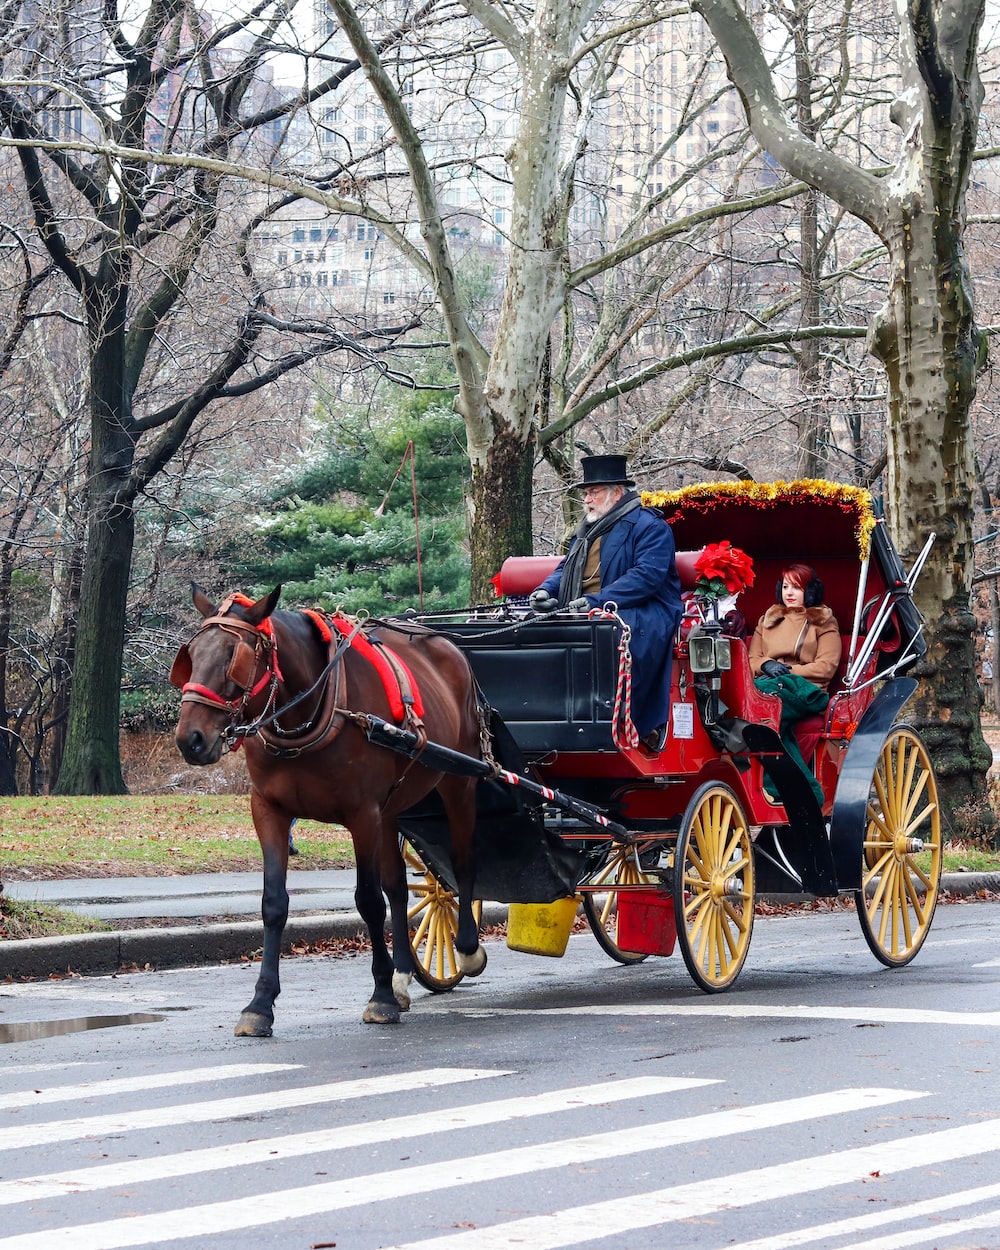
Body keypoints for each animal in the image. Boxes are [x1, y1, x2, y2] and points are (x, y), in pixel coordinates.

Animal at [171, 585, 487, 1037]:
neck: (307, 714)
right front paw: (260, 1003)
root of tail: (448, 644)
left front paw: (380, 997)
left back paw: (465, 948)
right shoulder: (269, 811)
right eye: (191, 655)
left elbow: (368, 900)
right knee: (399, 887)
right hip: (392, 808)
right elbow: (274, 903)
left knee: (460, 866)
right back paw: (403, 974)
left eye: (235, 656)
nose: (190, 739)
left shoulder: (362, 815)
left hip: (459, 782)